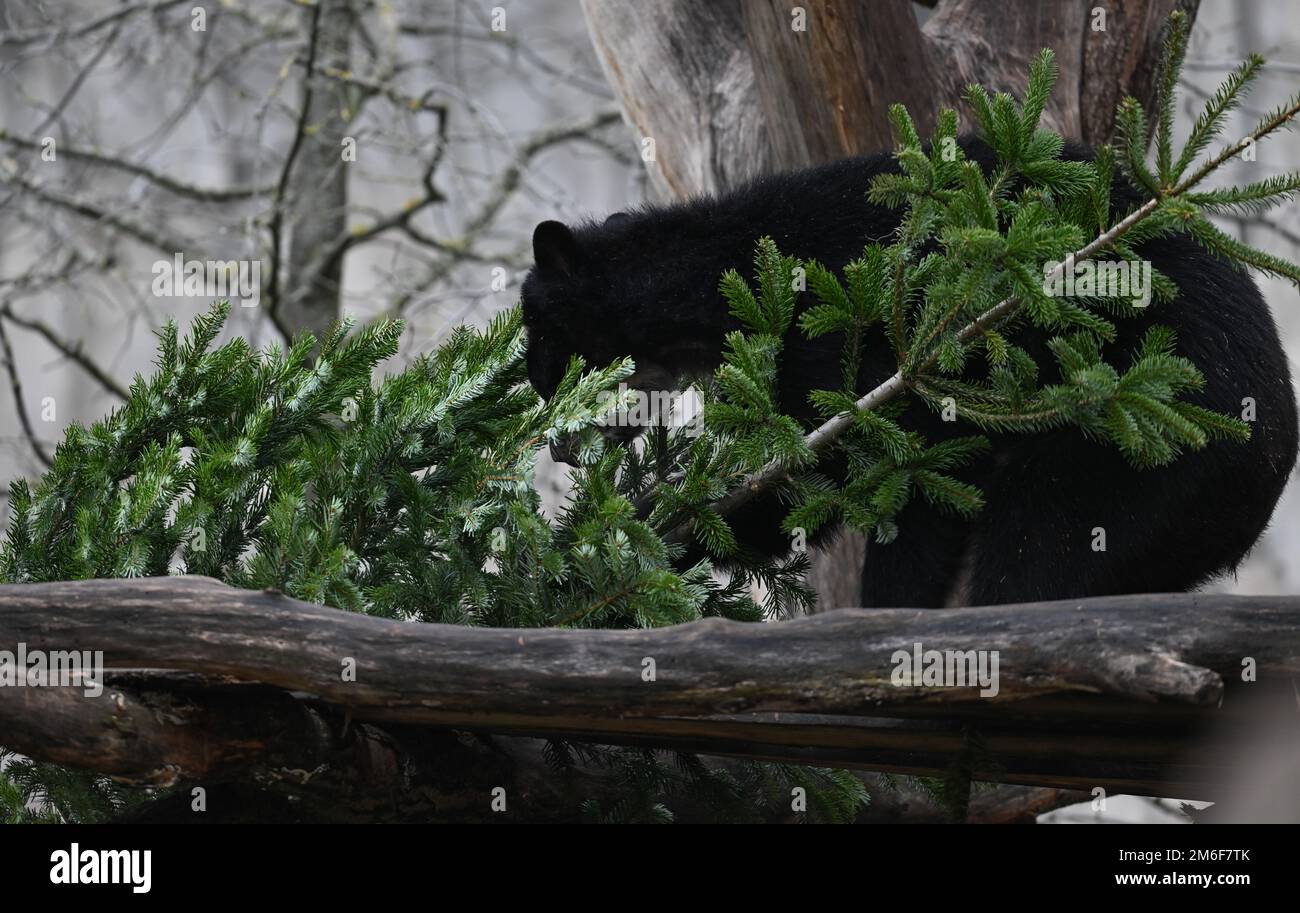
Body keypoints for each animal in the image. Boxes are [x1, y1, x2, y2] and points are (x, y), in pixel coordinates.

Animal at [520, 137, 1298, 608]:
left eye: (546, 357)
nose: (558, 450)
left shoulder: (861, 330)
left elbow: (844, 459)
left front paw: (663, 516)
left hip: (1138, 450)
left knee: (1046, 542)